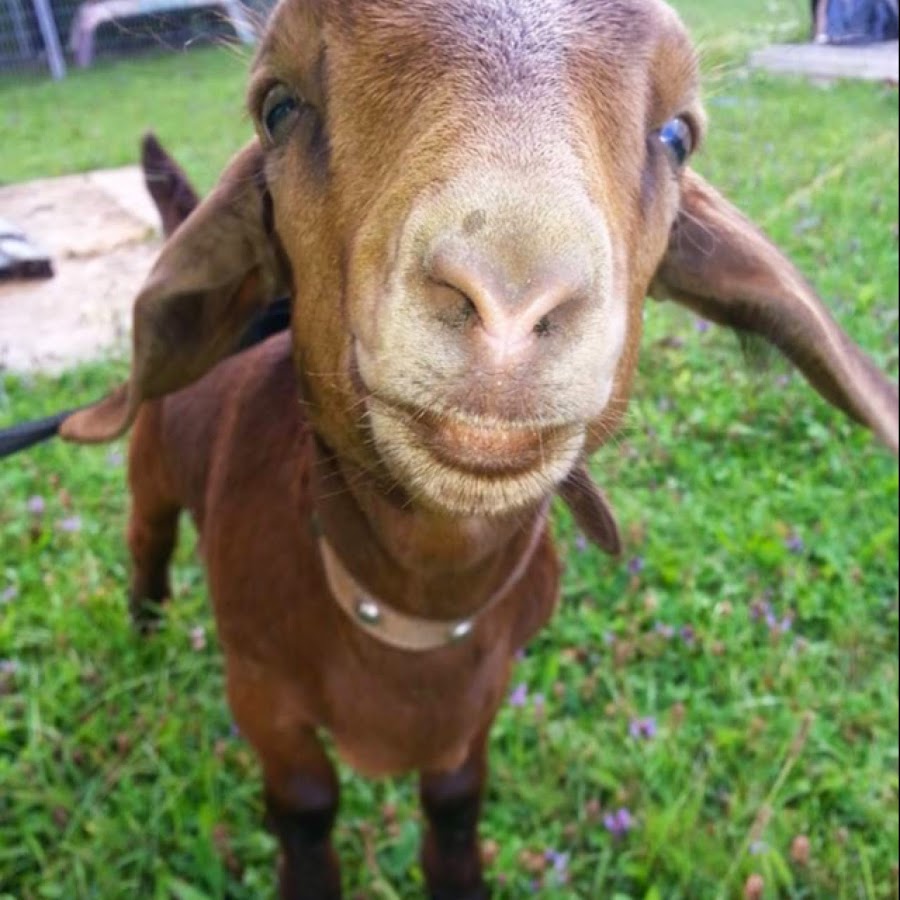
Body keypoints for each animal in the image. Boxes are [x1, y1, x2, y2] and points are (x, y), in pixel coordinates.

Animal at [59, 1, 898, 897]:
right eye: (277, 109)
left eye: (677, 136)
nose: (511, 293)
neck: (412, 608)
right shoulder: (262, 694)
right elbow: (308, 806)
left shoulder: (488, 693)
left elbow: (458, 798)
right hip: (149, 476)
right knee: (146, 545)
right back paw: (145, 632)